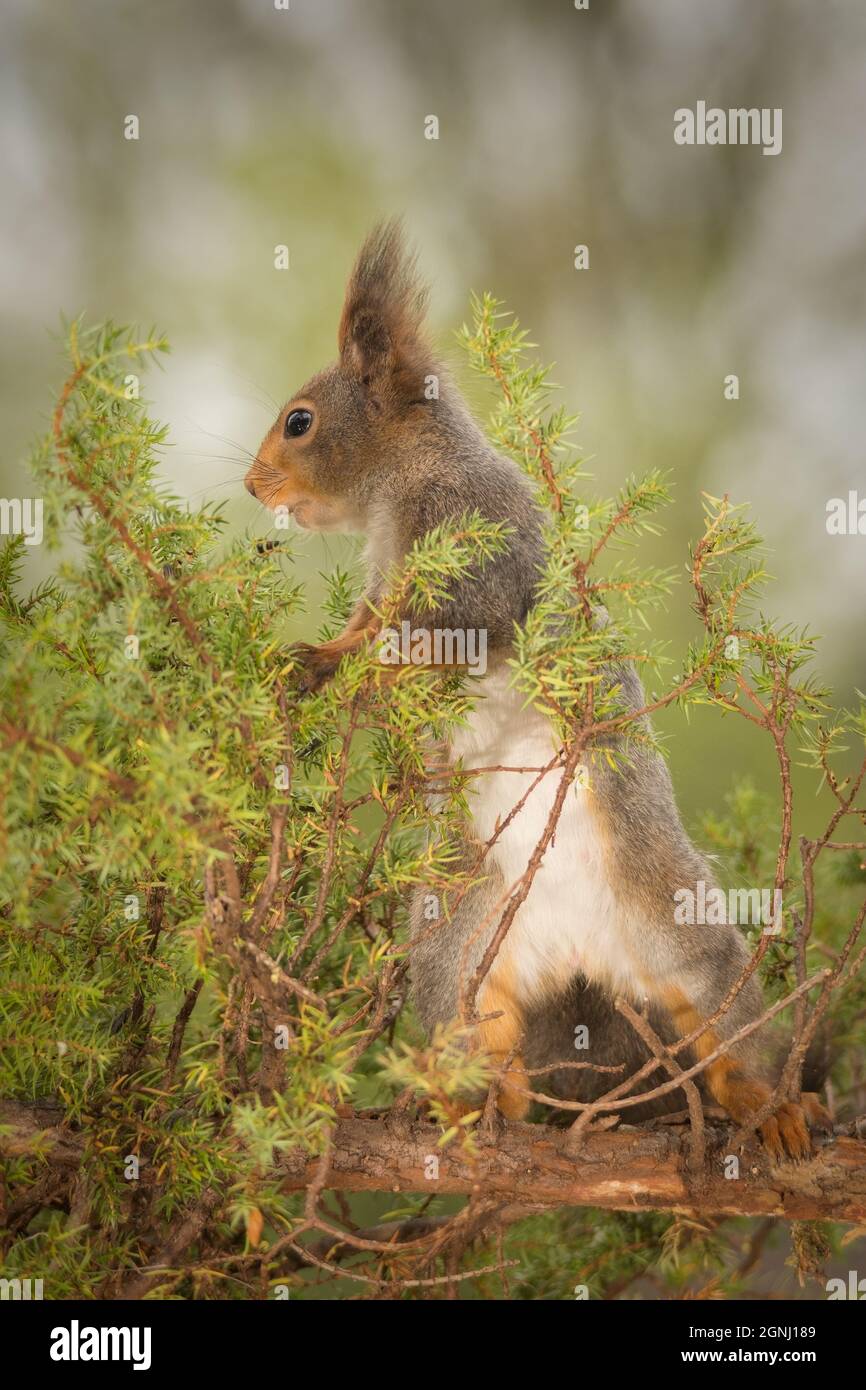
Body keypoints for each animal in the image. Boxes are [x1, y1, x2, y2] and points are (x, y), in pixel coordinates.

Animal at [245, 220, 830, 1161]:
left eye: (300, 421)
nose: (251, 485)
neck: (407, 482)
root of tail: (583, 952)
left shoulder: (478, 549)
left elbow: (441, 633)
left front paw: (349, 669)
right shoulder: (383, 582)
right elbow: (365, 634)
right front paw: (314, 662)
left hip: (679, 927)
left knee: (729, 1025)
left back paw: (771, 1105)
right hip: (456, 949)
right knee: (481, 1037)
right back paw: (469, 1102)